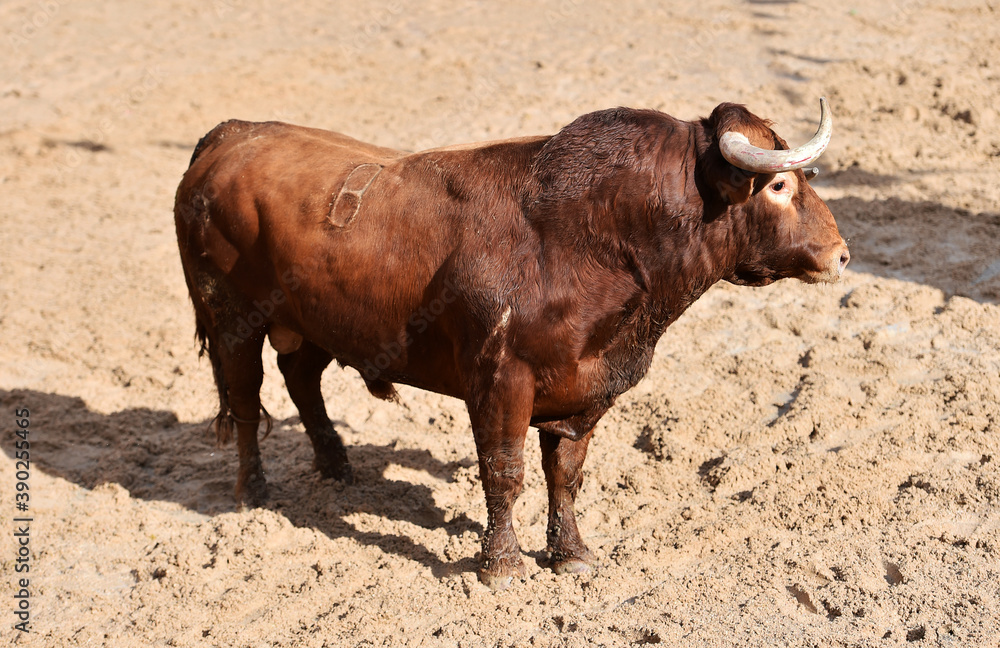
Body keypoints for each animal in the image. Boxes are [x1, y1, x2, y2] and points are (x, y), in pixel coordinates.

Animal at [174, 98, 848, 590]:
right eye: (779, 185)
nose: (841, 254)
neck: (588, 238)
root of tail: (230, 135)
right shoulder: (499, 381)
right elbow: (504, 471)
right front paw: (501, 563)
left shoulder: (584, 391)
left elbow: (565, 474)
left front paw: (571, 553)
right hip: (233, 320)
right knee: (246, 399)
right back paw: (253, 491)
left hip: (313, 321)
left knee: (302, 379)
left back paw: (337, 467)